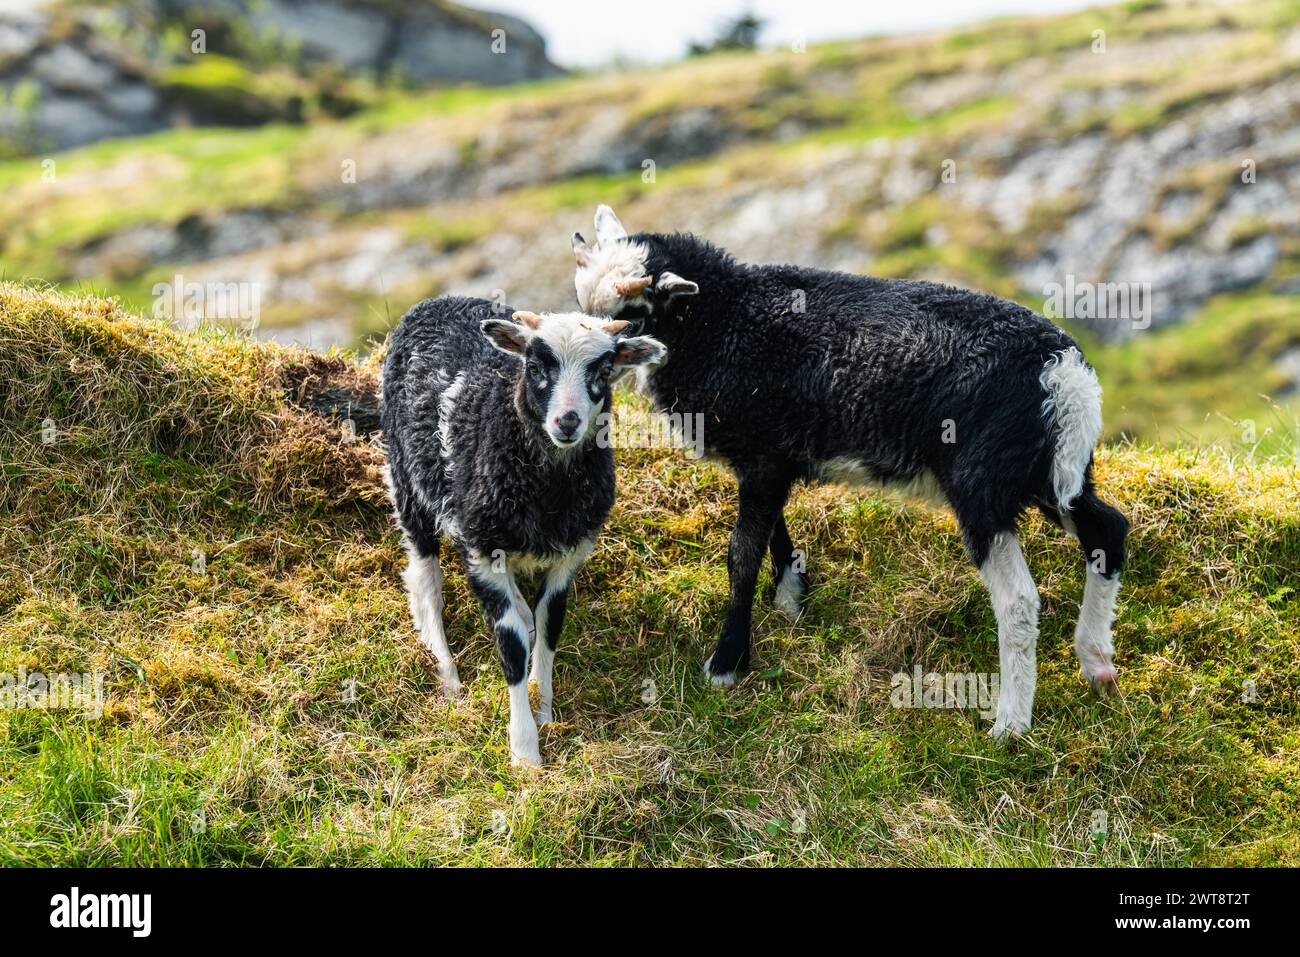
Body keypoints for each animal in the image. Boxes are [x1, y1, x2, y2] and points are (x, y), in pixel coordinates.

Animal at [381, 295, 666, 766]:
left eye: (605, 369)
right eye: (535, 366)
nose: (568, 421)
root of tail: (439, 300)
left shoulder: (571, 552)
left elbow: (550, 625)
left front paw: (545, 708)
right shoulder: (482, 552)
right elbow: (511, 643)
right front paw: (525, 751)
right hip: (408, 479)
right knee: (425, 581)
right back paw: (447, 673)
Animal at [570, 205, 1129, 739]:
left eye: (632, 318)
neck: (723, 318)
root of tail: (1063, 371)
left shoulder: (764, 460)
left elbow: (741, 556)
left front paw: (728, 662)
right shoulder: (770, 460)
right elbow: (772, 530)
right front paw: (792, 595)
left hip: (982, 486)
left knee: (1018, 601)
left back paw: (1011, 724)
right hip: (1051, 474)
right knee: (1108, 530)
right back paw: (1096, 662)